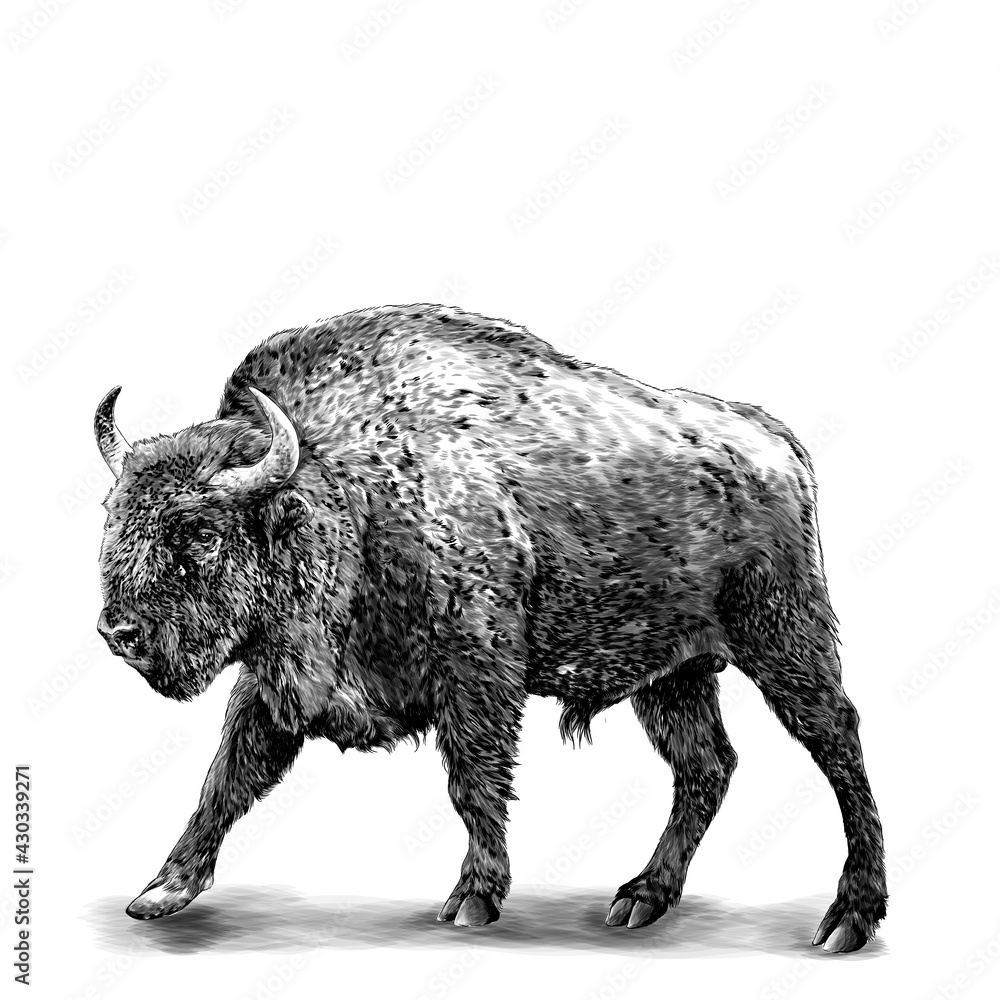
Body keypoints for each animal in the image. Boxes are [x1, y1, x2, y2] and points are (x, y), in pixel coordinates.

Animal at [95, 303, 886, 952]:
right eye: (112, 518)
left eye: (201, 532)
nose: (118, 632)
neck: (346, 494)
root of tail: (774, 441)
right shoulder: (275, 686)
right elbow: (226, 780)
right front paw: (160, 893)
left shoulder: (477, 676)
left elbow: (473, 782)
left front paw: (473, 899)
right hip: (674, 675)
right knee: (706, 766)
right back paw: (640, 900)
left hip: (783, 638)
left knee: (836, 742)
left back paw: (849, 918)